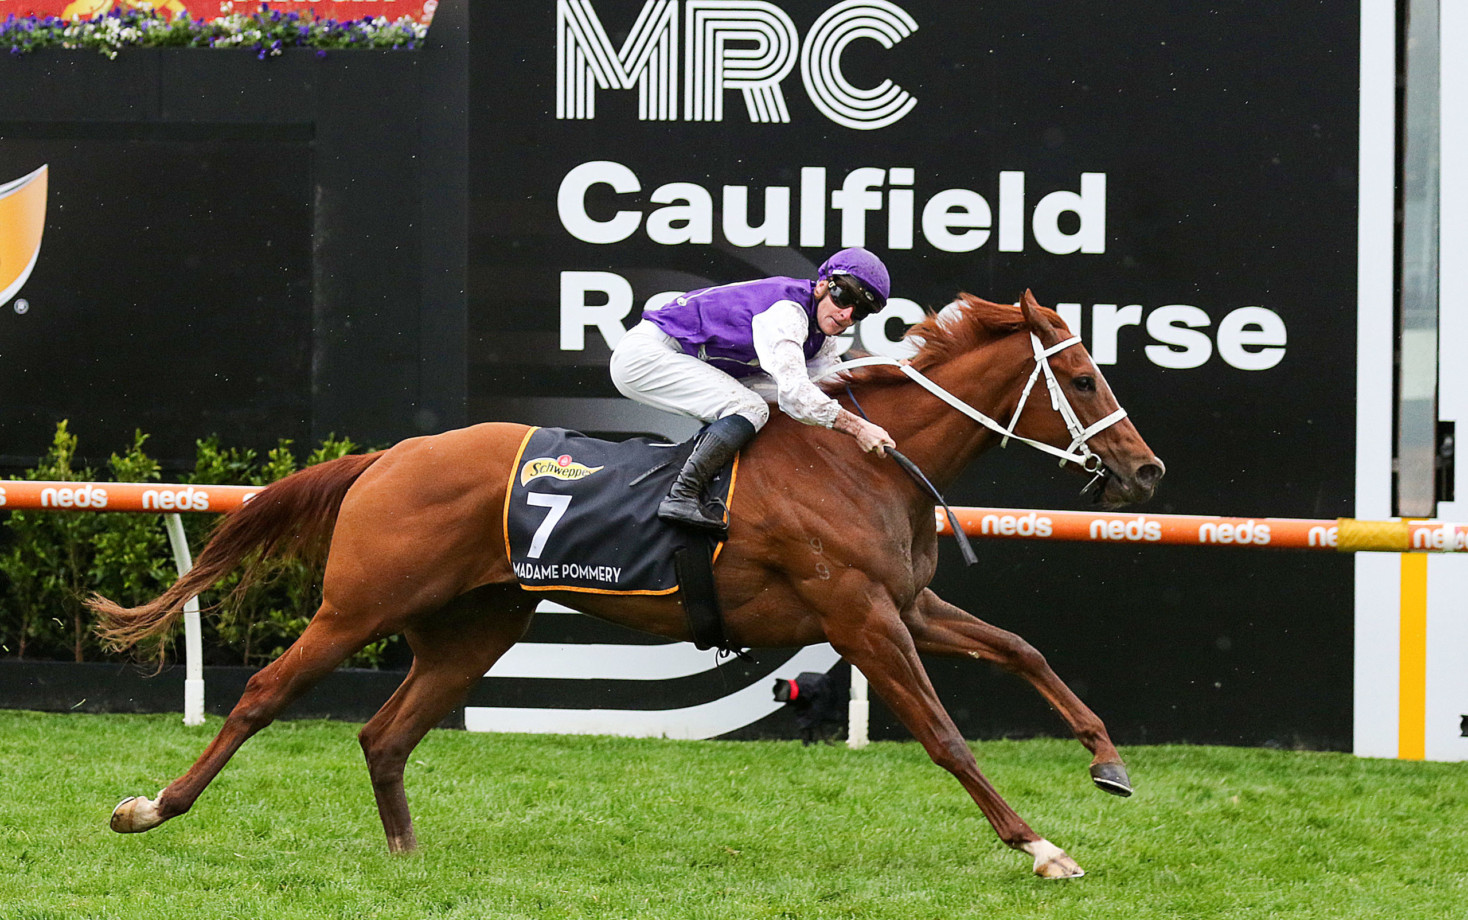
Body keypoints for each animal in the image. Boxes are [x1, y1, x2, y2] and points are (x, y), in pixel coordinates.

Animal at [93, 290, 1164, 879]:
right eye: (1083, 375)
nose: (1147, 473)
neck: (864, 464)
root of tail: (392, 455)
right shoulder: (860, 616)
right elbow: (945, 736)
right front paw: (1041, 848)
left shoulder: (904, 605)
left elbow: (1022, 649)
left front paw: (1109, 763)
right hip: (360, 604)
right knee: (266, 695)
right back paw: (150, 808)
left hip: (477, 625)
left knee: (384, 734)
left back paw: (406, 860)